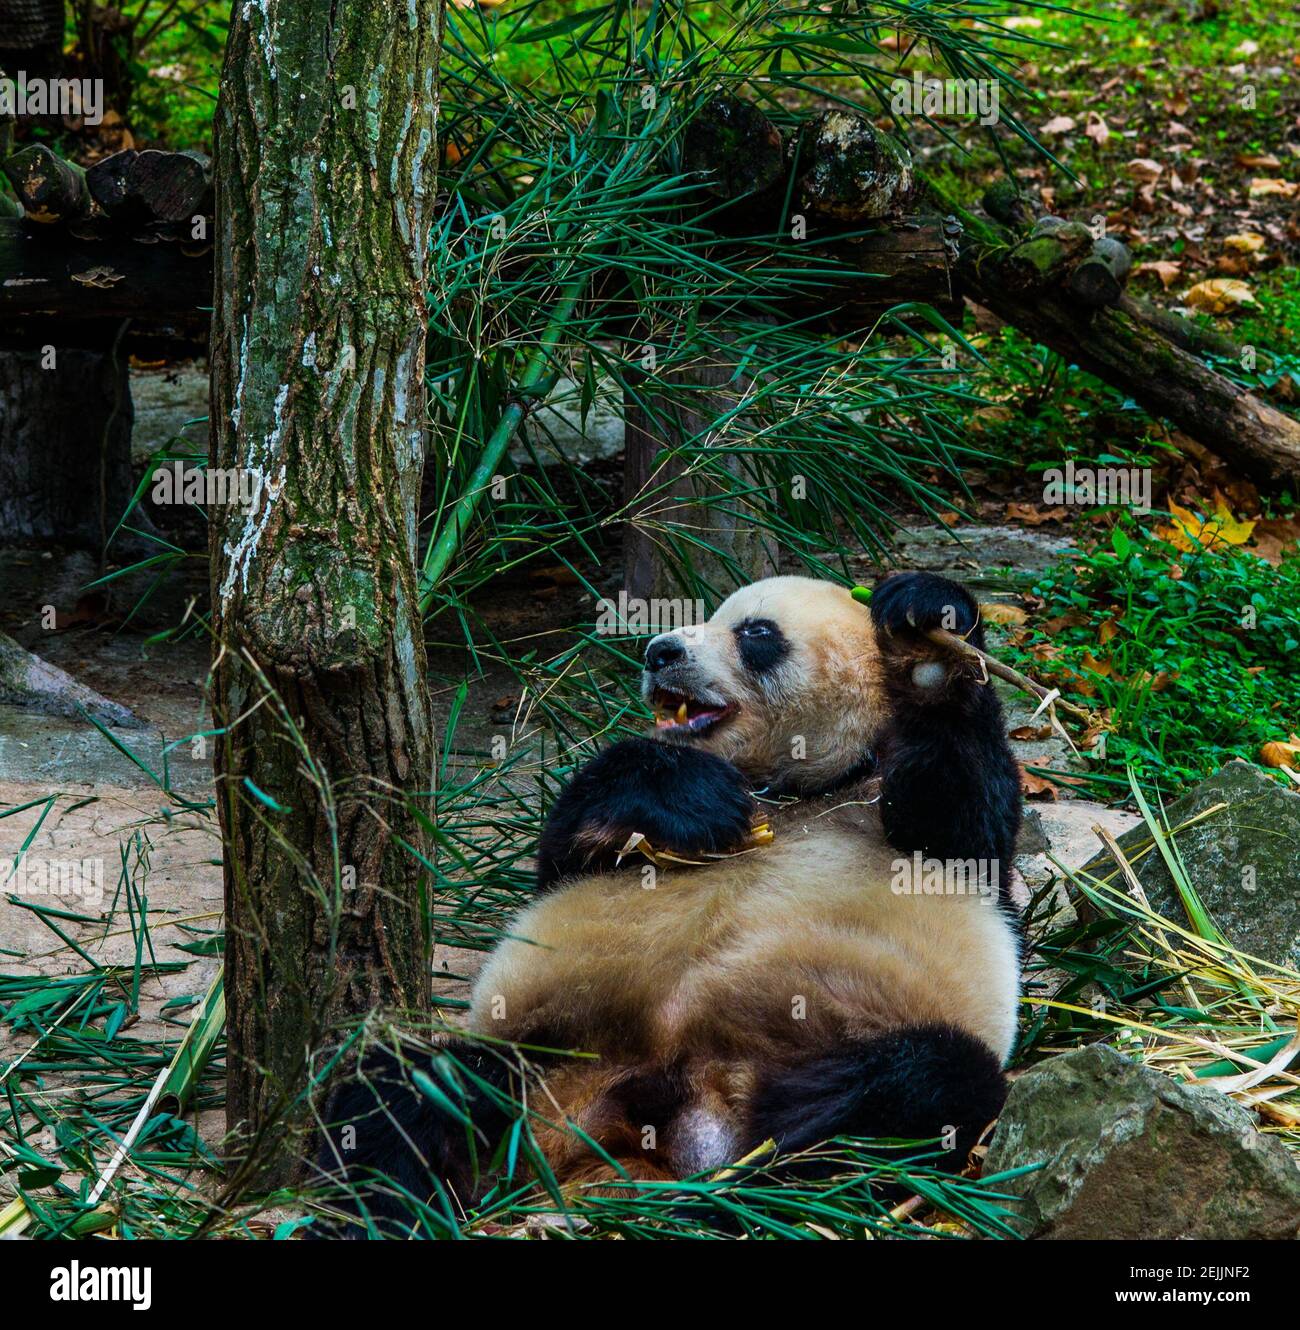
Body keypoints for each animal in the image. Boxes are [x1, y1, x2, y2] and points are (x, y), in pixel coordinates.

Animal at [315, 570, 1023, 1236]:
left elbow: (966, 817)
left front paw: (924, 632)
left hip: (838, 1046)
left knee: (922, 1085)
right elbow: (572, 840)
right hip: (542, 1064)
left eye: (756, 632)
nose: (660, 651)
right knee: (404, 1084)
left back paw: (746, 1186)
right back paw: (377, 1210)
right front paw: (697, 797)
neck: (794, 790)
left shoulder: (909, 814)